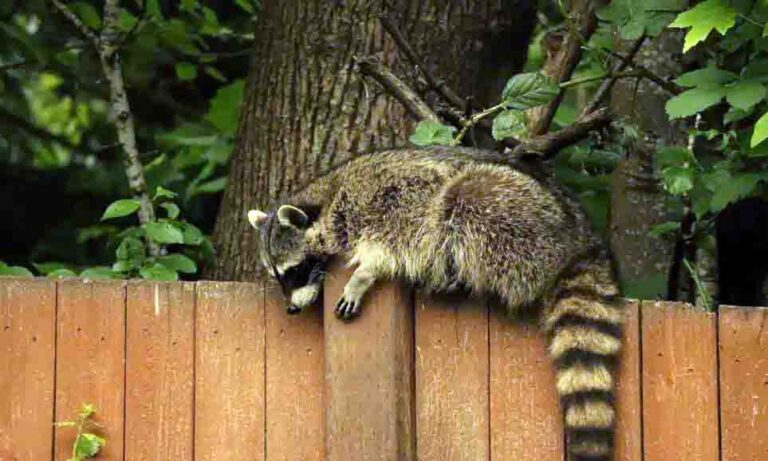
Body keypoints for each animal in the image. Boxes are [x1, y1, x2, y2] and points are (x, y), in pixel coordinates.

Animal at [247, 146, 622, 461]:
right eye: (278, 276)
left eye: (294, 270)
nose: (291, 309)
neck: (327, 196)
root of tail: (582, 236)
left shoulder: (392, 193)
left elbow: (405, 233)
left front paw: (368, 270)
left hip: (521, 217)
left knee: (462, 201)